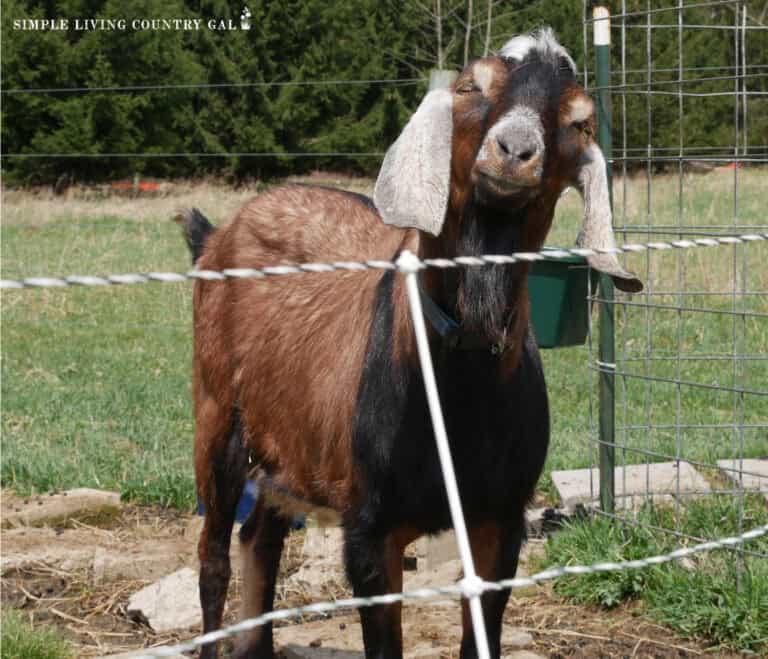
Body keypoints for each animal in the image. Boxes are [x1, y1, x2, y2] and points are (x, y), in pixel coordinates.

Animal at [178, 28, 642, 659]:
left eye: (579, 120)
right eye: (471, 87)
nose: (515, 150)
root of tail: (220, 232)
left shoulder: (500, 521)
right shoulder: (371, 531)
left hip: (287, 446)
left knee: (260, 539)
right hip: (217, 415)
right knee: (214, 559)